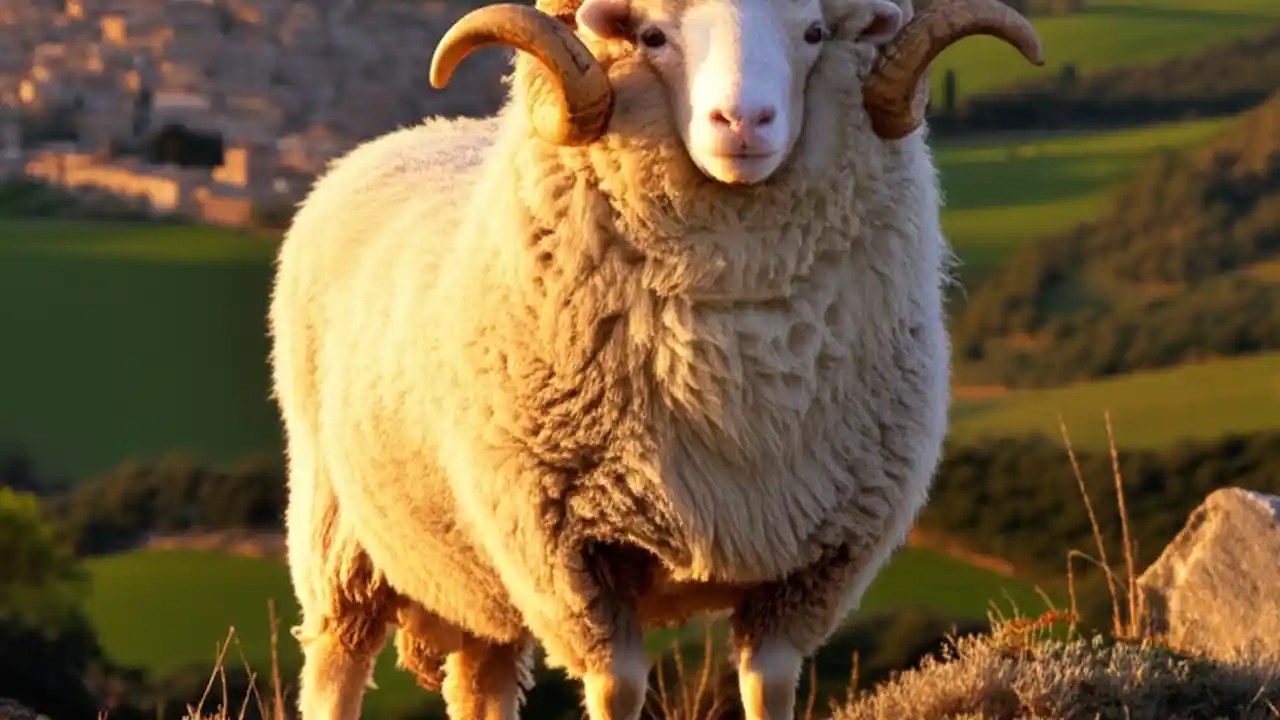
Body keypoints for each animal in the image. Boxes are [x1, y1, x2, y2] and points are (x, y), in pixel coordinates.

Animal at [266, 0, 1042, 717]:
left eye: (815, 33)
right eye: (652, 35)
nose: (743, 122)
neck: (738, 371)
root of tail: (407, 136)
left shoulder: (809, 562)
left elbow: (770, 685)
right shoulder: (571, 559)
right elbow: (620, 687)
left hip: (480, 575)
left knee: (482, 679)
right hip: (337, 538)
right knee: (335, 664)